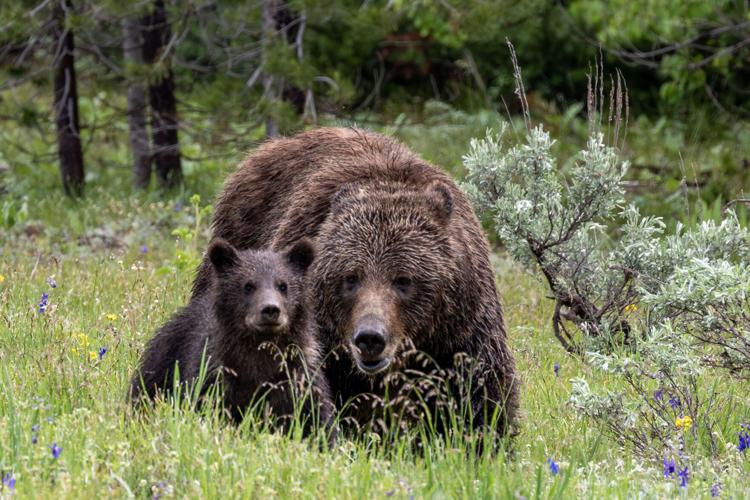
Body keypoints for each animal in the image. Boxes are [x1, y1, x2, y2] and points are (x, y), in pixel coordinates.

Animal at [129, 238, 335, 437]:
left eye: (283, 285)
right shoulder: (216, 374)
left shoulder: (298, 377)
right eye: (248, 285)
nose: (270, 309)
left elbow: (316, 418)